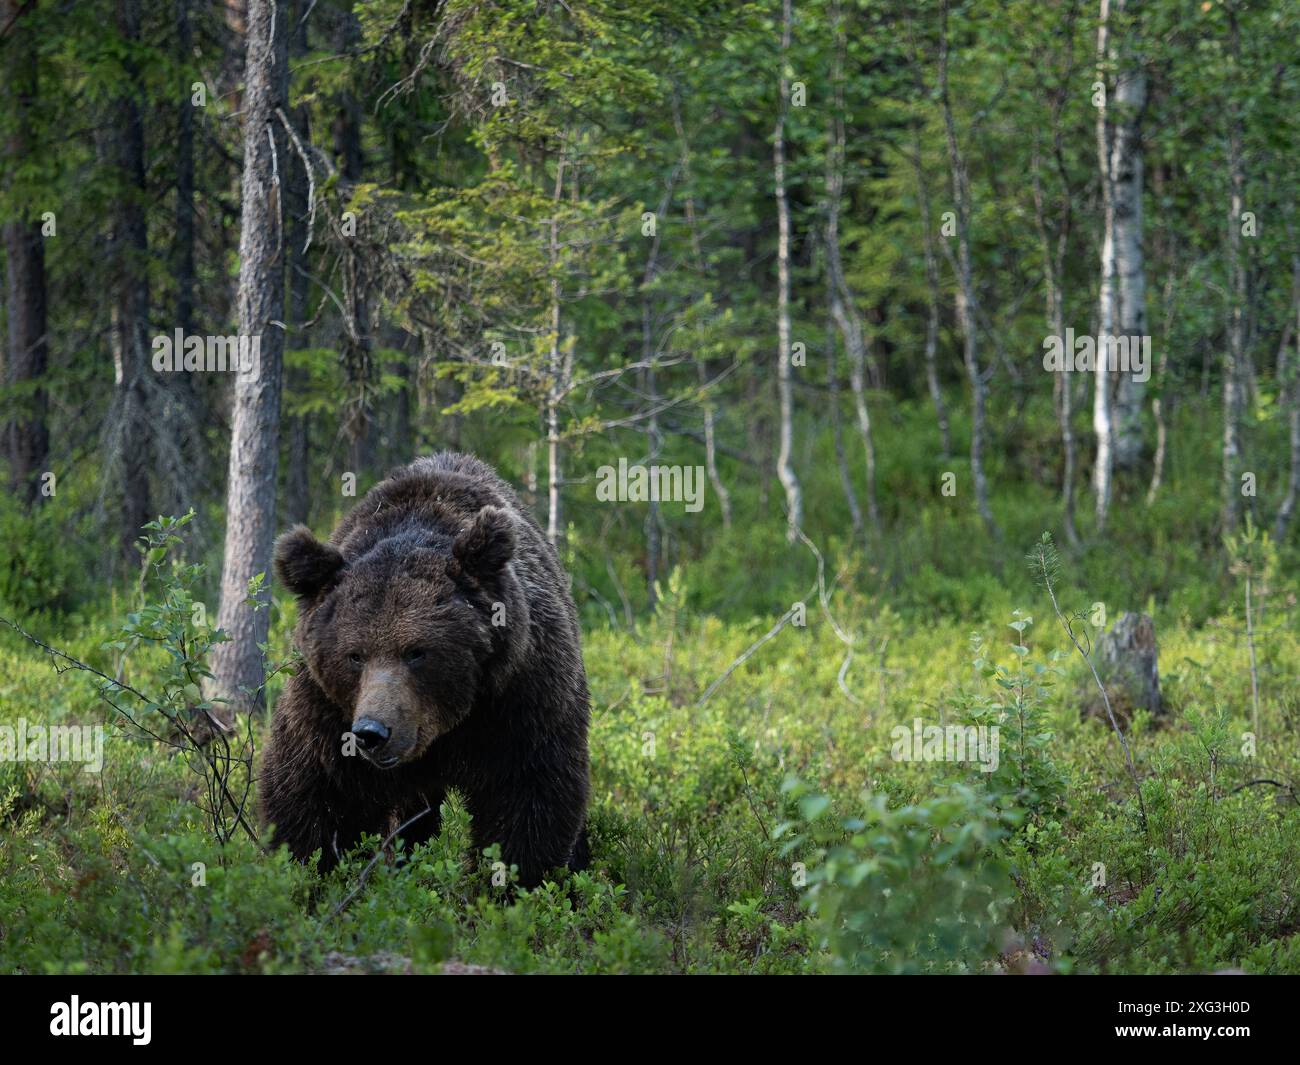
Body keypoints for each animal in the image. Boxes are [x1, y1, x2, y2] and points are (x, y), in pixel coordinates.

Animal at [260, 452, 591, 888]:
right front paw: (312, 873)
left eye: (417, 652)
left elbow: (527, 796)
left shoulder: (519, 695)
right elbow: (313, 794)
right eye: (354, 655)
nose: (372, 733)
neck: (444, 729)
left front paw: (511, 885)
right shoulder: (325, 708)